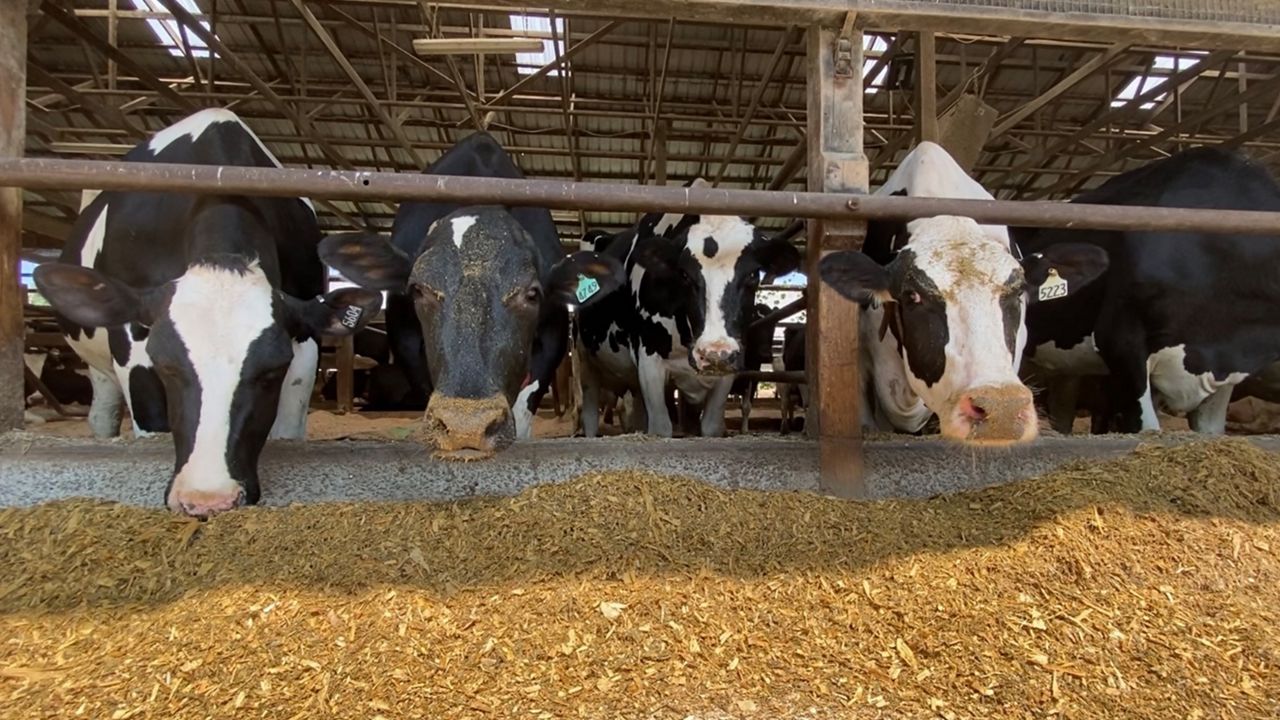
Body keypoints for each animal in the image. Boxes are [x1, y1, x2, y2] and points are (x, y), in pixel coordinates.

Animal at [32, 108, 381, 516]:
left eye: (272, 370)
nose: (207, 500)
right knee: (102, 414)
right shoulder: (133, 342)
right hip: (97, 363)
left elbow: (290, 424)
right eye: (165, 364)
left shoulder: (305, 336)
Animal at [576, 190, 803, 438]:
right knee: (589, 410)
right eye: (683, 274)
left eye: (753, 275)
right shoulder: (649, 360)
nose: (714, 354)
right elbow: (661, 428)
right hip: (584, 359)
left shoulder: (728, 369)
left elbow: (710, 427)